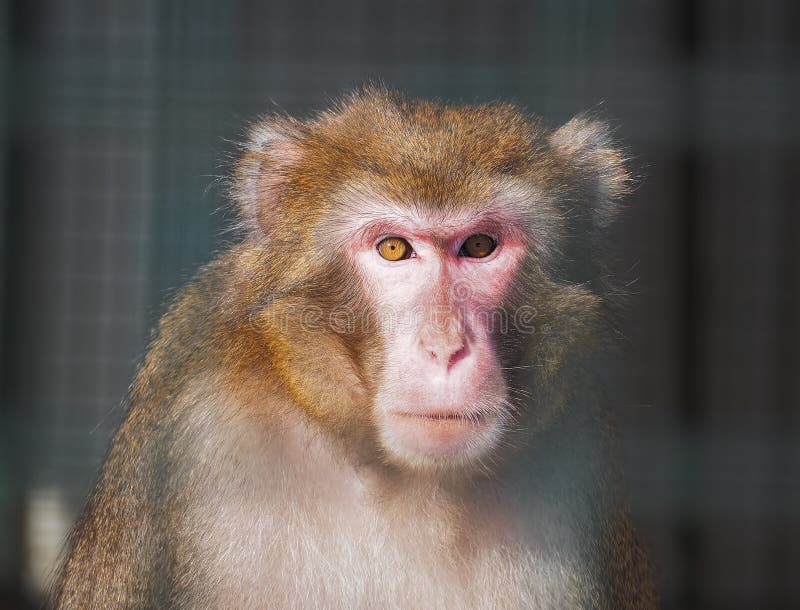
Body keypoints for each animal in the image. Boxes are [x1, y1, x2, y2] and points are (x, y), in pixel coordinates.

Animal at [52, 87, 656, 609]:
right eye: (394, 249)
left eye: (480, 246)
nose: (445, 347)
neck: (397, 474)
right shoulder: (188, 417)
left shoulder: (578, 452)